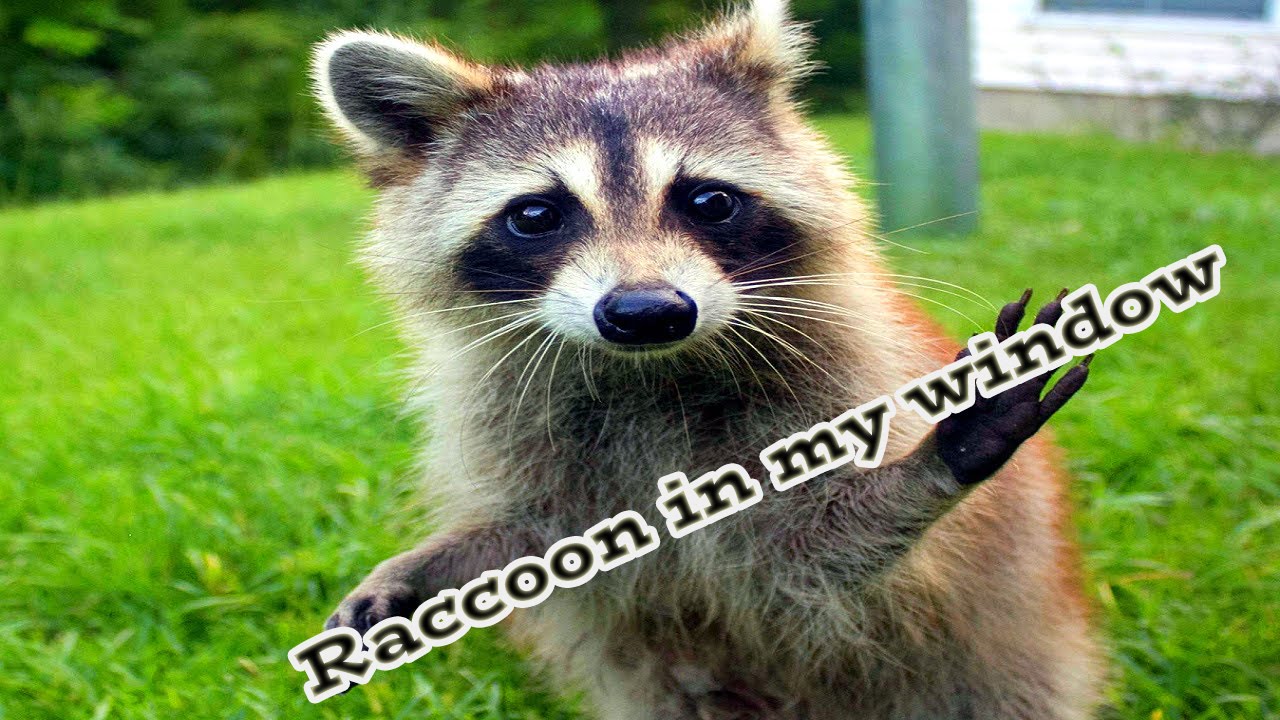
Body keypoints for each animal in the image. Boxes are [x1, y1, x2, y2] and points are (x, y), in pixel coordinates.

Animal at [311, 1, 1104, 717]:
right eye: (536, 215)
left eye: (709, 201)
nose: (646, 312)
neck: (647, 373)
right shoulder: (520, 429)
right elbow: (535, 535)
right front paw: (432, 562)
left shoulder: (830, 390)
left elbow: (821, 548)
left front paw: (932, 464)